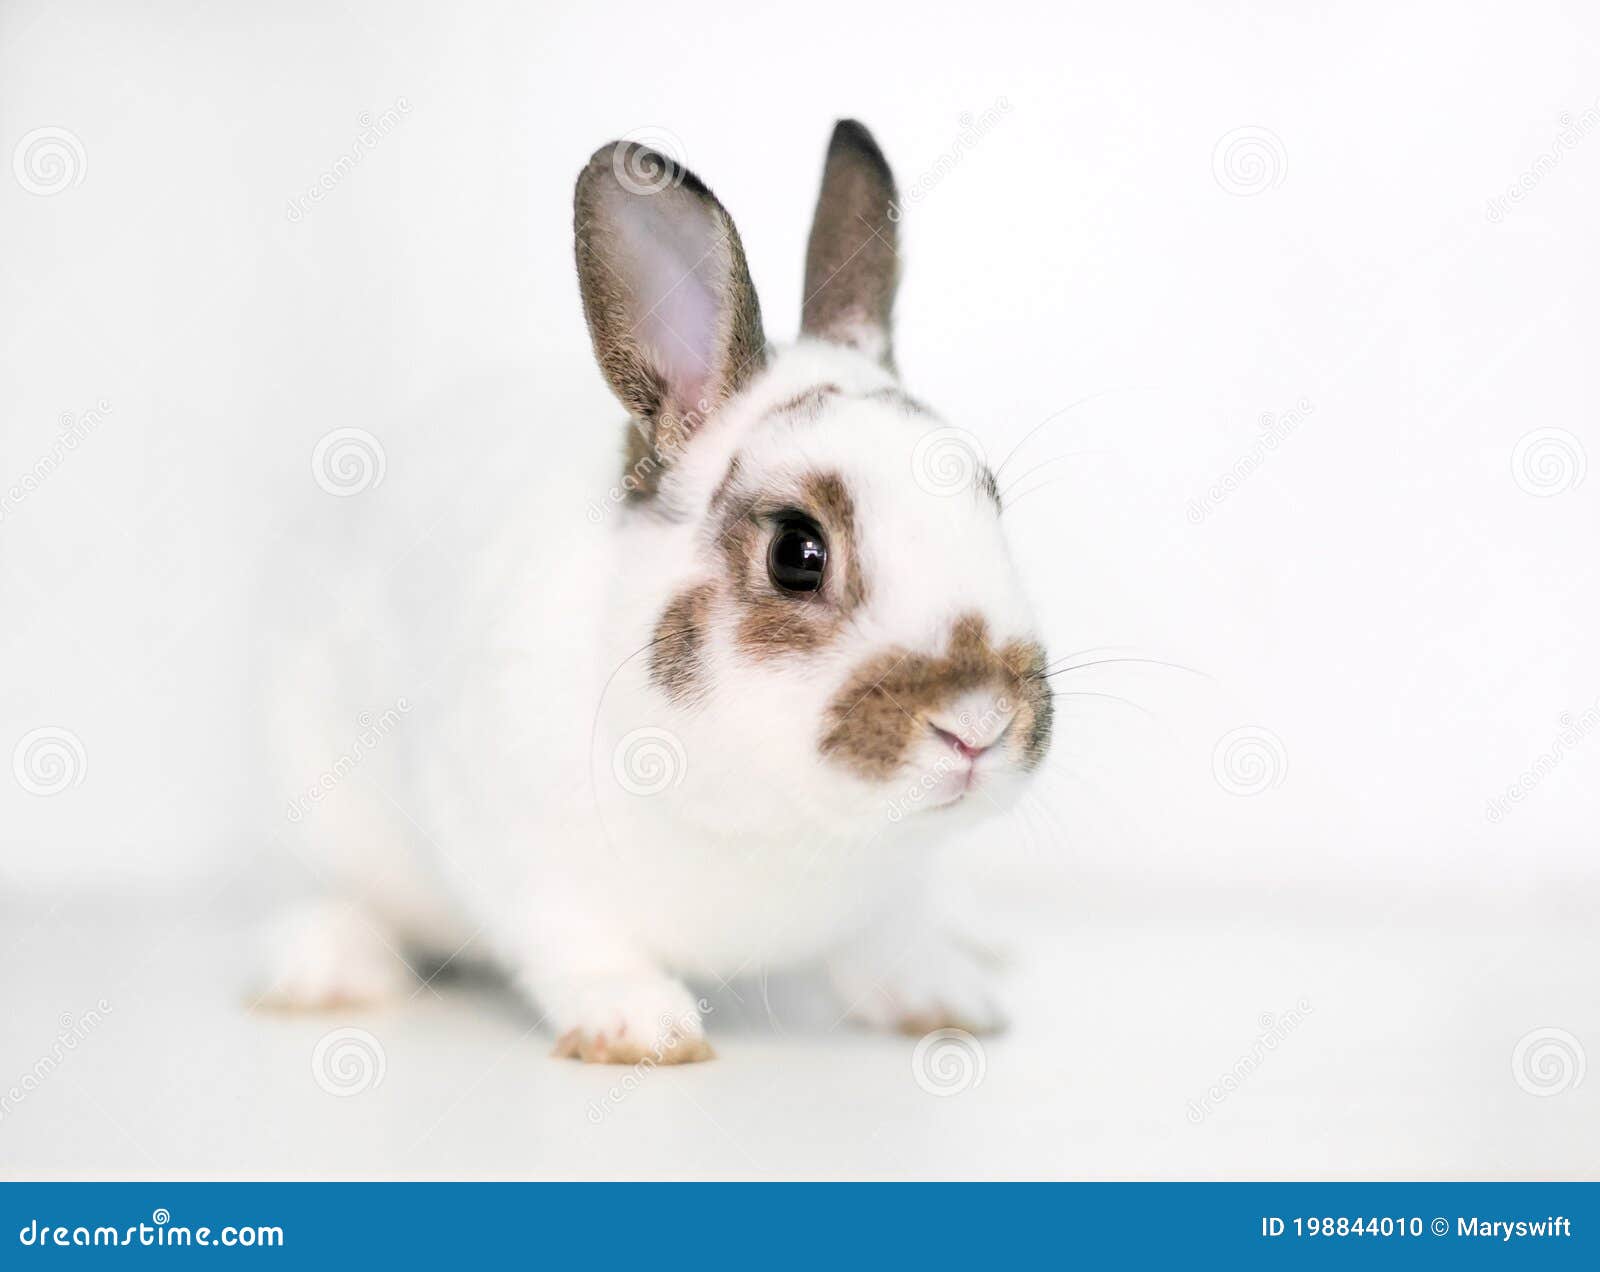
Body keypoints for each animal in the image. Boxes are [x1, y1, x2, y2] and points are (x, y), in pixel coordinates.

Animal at [261, 120, 1054, 1065]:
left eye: (989, 498)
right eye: (797, 553)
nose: (980, 725)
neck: (774, 821)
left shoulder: (883, 898)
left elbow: (885, 940)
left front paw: (946, 999)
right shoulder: (519, 851)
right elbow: (576, 943)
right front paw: (641, 1028)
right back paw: (322, 966)